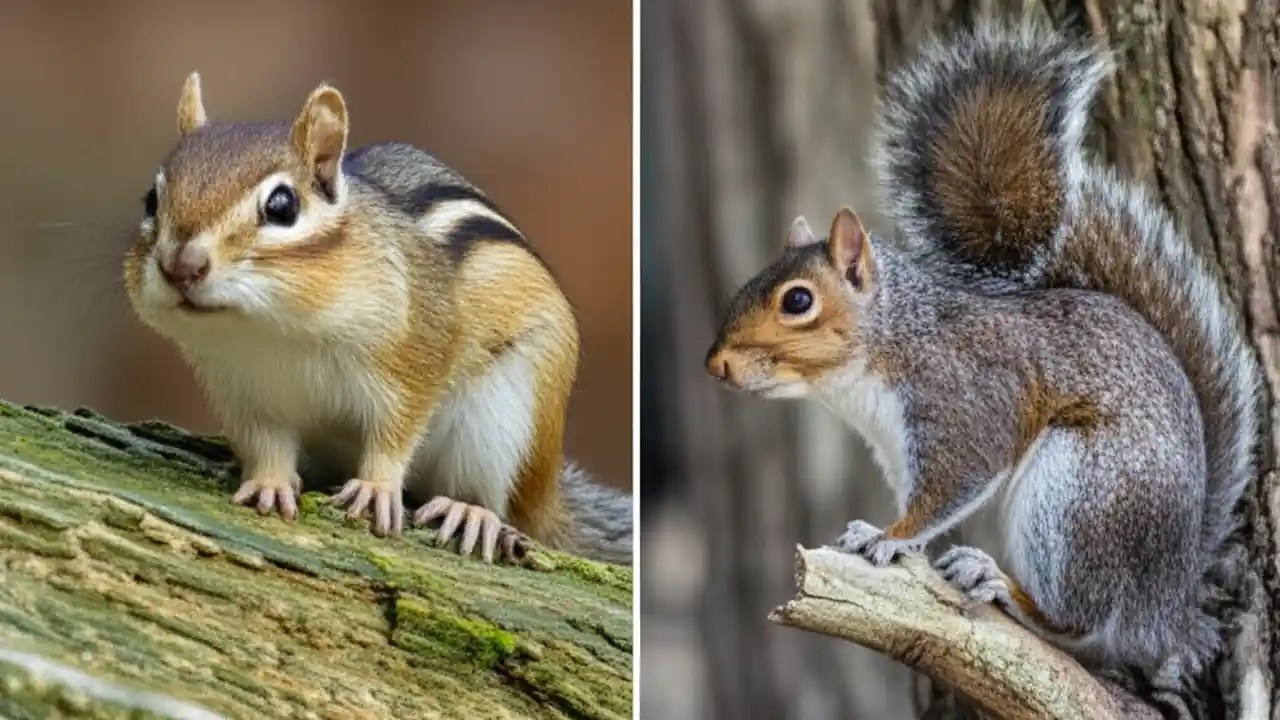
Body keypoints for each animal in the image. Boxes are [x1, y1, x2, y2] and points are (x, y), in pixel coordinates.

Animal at [123, 73, 631, 566]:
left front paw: (375, 487)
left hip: (503, 419)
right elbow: (268, 445)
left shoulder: (411, 358)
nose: (181, 266)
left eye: (282, 206)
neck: (274, 332)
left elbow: (395, 434)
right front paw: (268, 483)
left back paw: (468, 512)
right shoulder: (249, 396)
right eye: (151, 200)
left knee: (495, 499)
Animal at [705, 22, 1261, 686]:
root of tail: (1166, 607)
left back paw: (1001, 583)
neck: (889, 346)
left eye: (797, 300)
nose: (716, 365)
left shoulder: (964, 398)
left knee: (1080, 621)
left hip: (1077, 496)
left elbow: (955, 482)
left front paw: (890, 536)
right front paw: (906, 542)